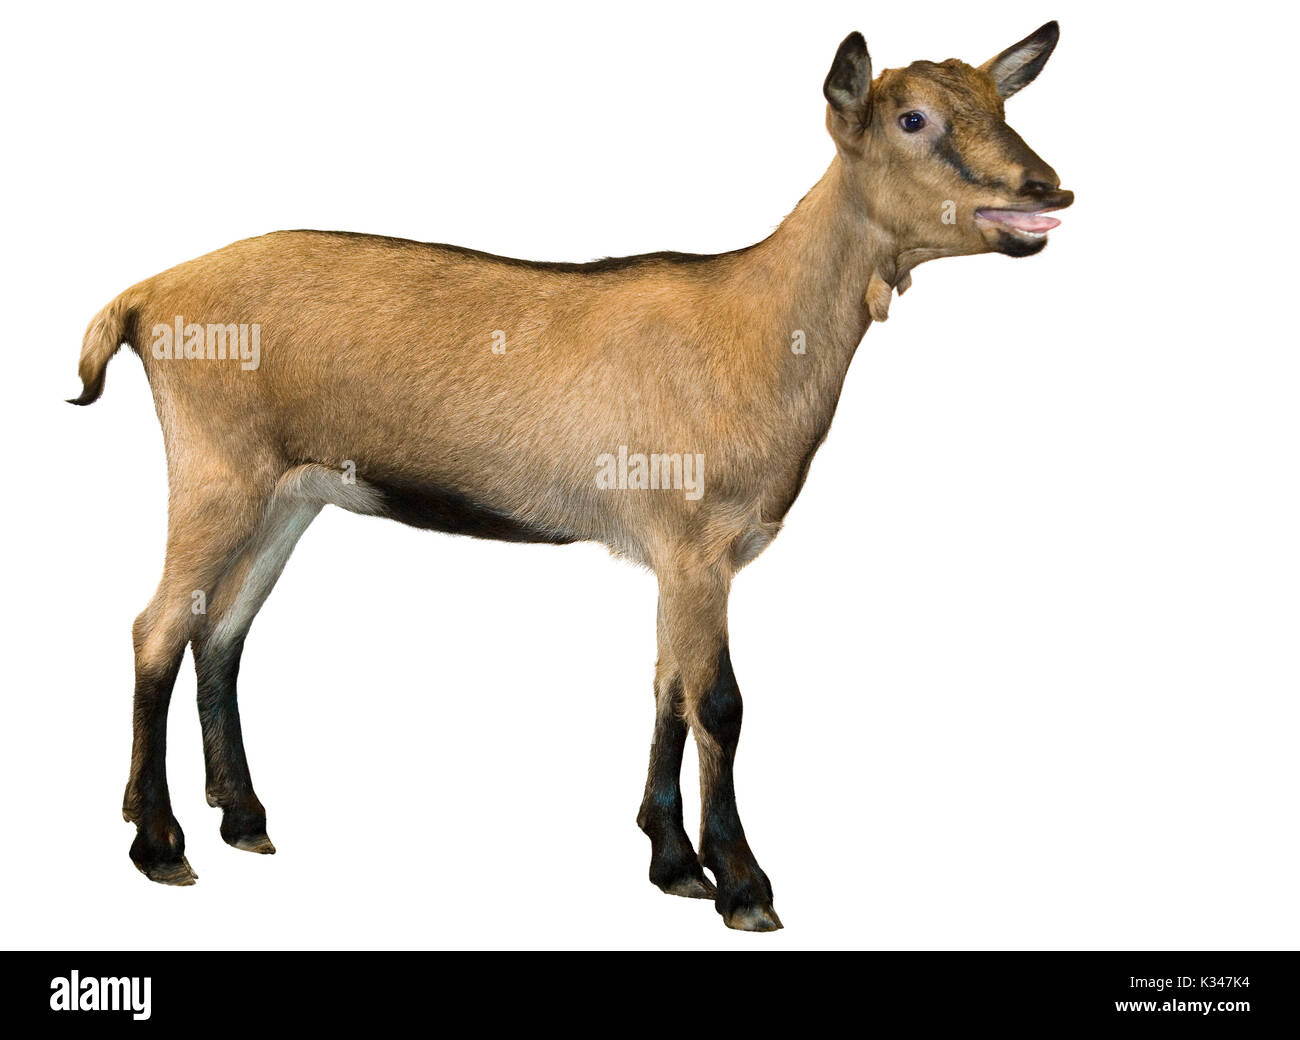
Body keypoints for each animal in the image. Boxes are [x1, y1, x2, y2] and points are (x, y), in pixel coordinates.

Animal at [69, 23, 1072, 931]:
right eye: (912, 117)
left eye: (1002, 103)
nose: (1046, 190)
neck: (755, 322)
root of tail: (145, 296)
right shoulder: (698, 546)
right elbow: (720, 703)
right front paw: (744, 886)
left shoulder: (679, 558)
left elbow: (668, 689)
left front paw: (674, 864)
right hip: (217, 472)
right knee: (157, 627)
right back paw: (160, 845)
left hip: (291, 494)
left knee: (223, 630)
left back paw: (242, 818)